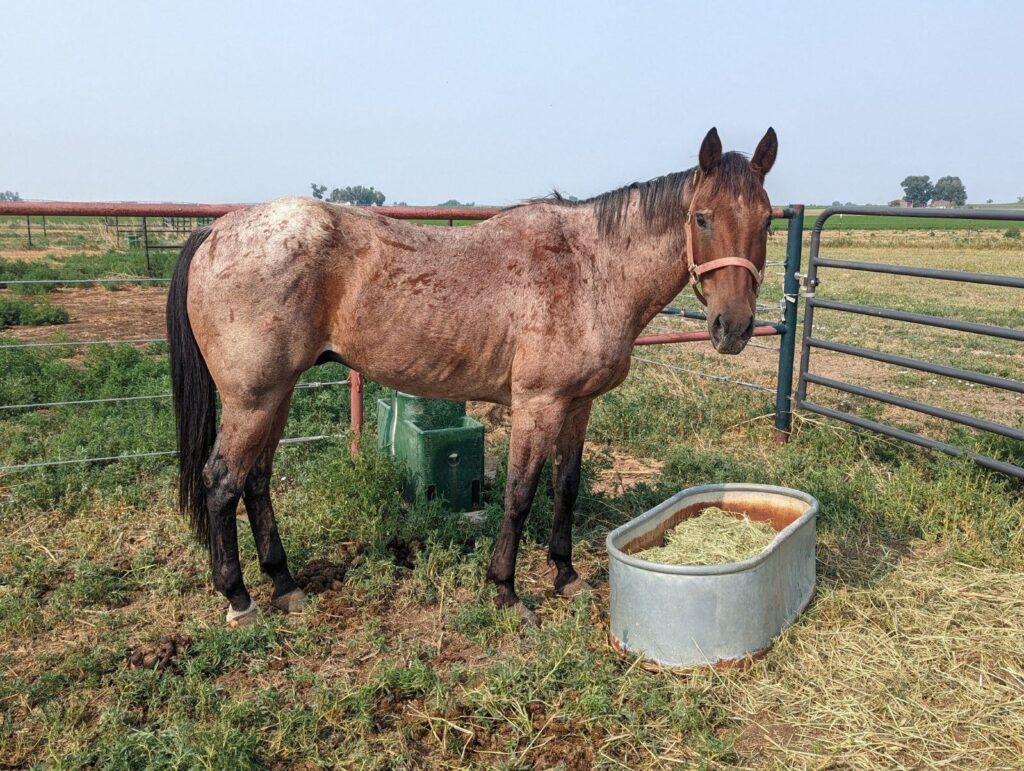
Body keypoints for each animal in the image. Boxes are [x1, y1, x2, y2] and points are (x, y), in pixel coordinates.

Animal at [167, 127, 778, 627]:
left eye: (767, 220)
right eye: (702, 217)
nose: (734, 327)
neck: (590, 268)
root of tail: (217, 231)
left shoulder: (578, 405)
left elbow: (565, 487)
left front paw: (565, 575)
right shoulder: (538, 403)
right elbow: (519, 493)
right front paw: (506, 590)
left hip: (277, 394)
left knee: (256, 481)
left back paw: (285, 584)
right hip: (253, 398)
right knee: (222, 482)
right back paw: (240, 598)